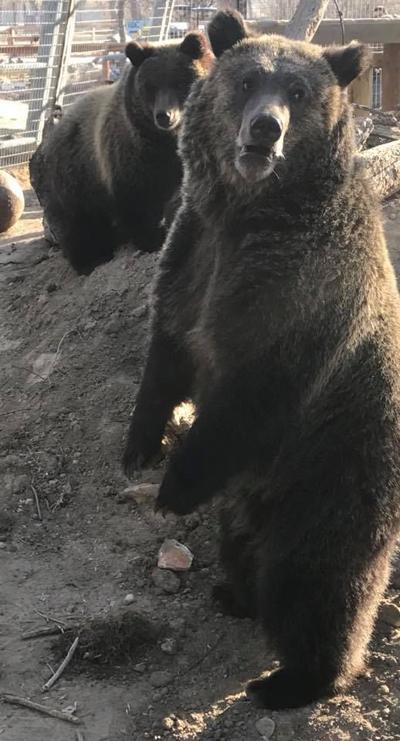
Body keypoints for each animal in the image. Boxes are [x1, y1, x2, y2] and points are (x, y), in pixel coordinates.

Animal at [29, 32, 211, 274]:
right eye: (150, 86)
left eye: (180, 81)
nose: (164, 116)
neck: (167, 142)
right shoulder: (129, 155)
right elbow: (136, 200)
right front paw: (152, 239)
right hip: (74, 176)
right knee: (77, 223)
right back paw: (90, 259)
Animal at [122, 10, 400, 709]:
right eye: (248, 80)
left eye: (298, 92)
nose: (264, 128)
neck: (246, 213)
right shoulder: (192, 258)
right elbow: (165, 356)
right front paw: (139, 446)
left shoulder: (298, 297)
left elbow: (250, 392)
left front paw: (172, 489)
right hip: (253, 498)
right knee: (243, 549)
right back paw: (233, 594)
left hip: (330, 477)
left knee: (316, 585)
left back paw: (293, 679)